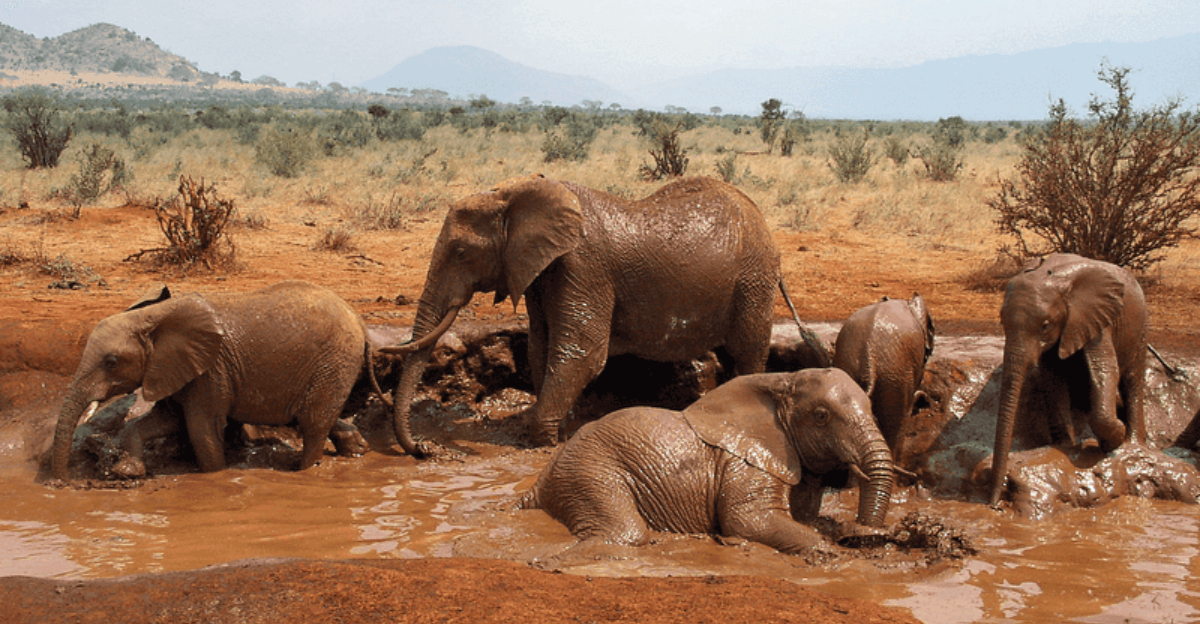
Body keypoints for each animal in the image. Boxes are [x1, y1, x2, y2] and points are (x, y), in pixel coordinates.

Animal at [50, 280, 381, 480]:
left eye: (111, 362)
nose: (63, 482)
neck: (154, 316)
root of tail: (360, 320)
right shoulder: (173, 367)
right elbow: (165, 421)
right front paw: (127, 471)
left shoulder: (211, 368)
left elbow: (201, 427)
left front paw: (216, 477)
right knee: (315, 416)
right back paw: (358, 448)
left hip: (335, 360)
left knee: (312, 424)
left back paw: (306, 472)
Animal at [384, 175, 829, 455]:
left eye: (461, 253)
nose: (424, 448)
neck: (512, 192)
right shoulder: (542, 271)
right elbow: (542, 347)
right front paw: (552, 427)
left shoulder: (583, 264)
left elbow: (582, 350)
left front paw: (538, 440)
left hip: (754, 281)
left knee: (748, 353)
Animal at [517, 368, 896, 554]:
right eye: (821, 416)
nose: (864, 532)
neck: (780, 380)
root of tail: (541, 481)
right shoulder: (744, 463)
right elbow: (749, 520)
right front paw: (830, 553)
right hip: (591, 471)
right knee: (626, 532)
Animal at [988, 254, 1148, 505]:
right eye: (1002, 322)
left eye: (1045, 325)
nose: (994, 503)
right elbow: (1052, 378)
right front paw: (1064, 446)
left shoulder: (1095, 317)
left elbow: (1105, 367)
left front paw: (1114, 440)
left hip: (1139, 323)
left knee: (1133, 378)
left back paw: (1133, 443)